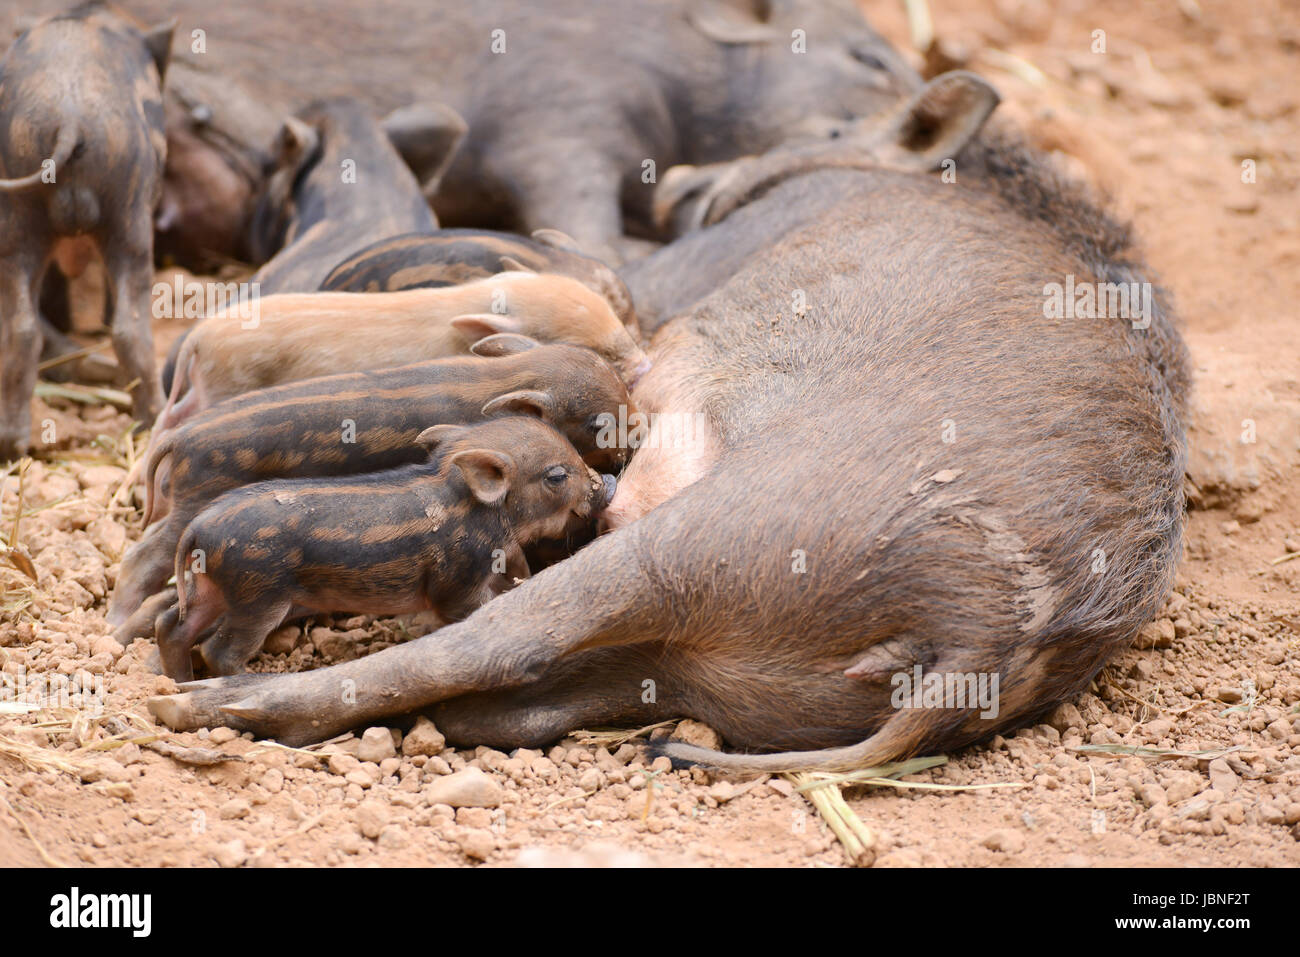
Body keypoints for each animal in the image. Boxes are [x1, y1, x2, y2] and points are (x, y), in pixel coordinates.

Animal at [0, 2, 174, 459]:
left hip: (18, 213)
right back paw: (151, 420)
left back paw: (13, 446)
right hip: (129, 205)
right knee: (130, 327)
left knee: (21, 328)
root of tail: (70, 119)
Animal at [107, 334, 633, 627]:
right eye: (598, 422)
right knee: (140, 558)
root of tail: (181, 439)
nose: (623, 461)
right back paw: (115, 625)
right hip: (191, 504)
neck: (499, 380)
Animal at [152, 416, 616, 680]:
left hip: (212, 591)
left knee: (170, 626)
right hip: (258, 597)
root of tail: (197, 529)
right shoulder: (457, 585)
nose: (607, 483)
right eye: (556, 476)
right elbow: (468, 613)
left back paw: (178, 683)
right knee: (217, 650)